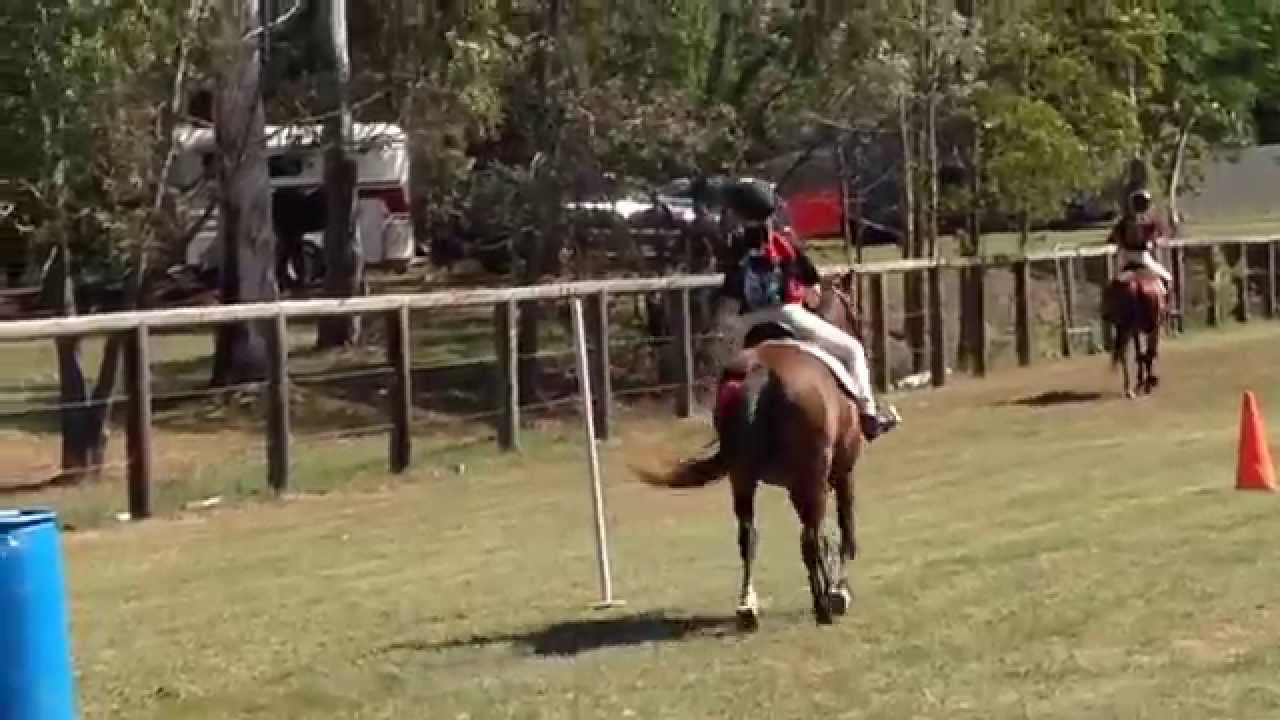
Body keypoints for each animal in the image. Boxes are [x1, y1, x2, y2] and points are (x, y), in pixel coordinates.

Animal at [1104, 266, 1167, 398]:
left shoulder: (1137, 329)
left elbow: (1140, 354)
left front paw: (1142, 382)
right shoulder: (1153, 327)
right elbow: (1148, 353)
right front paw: (1147, 383)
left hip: (1125, 326)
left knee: (1124, 353)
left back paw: (1129, 389)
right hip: (1135, 326)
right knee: (1133, 352)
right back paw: (1135, 388)